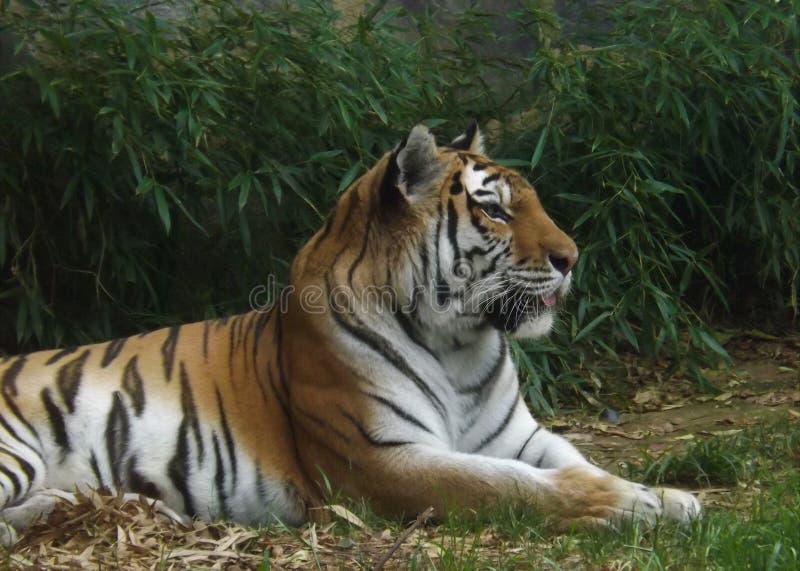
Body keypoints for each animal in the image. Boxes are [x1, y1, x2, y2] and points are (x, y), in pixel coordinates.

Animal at [0, 123, 700, 546]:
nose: (573, 257)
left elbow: (576, 464)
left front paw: (665, 498)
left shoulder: (516, 437)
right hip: (14, 450)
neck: (459, 346)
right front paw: (625, 508)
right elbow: (508, 485)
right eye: (495, 209)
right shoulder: (381, 459)